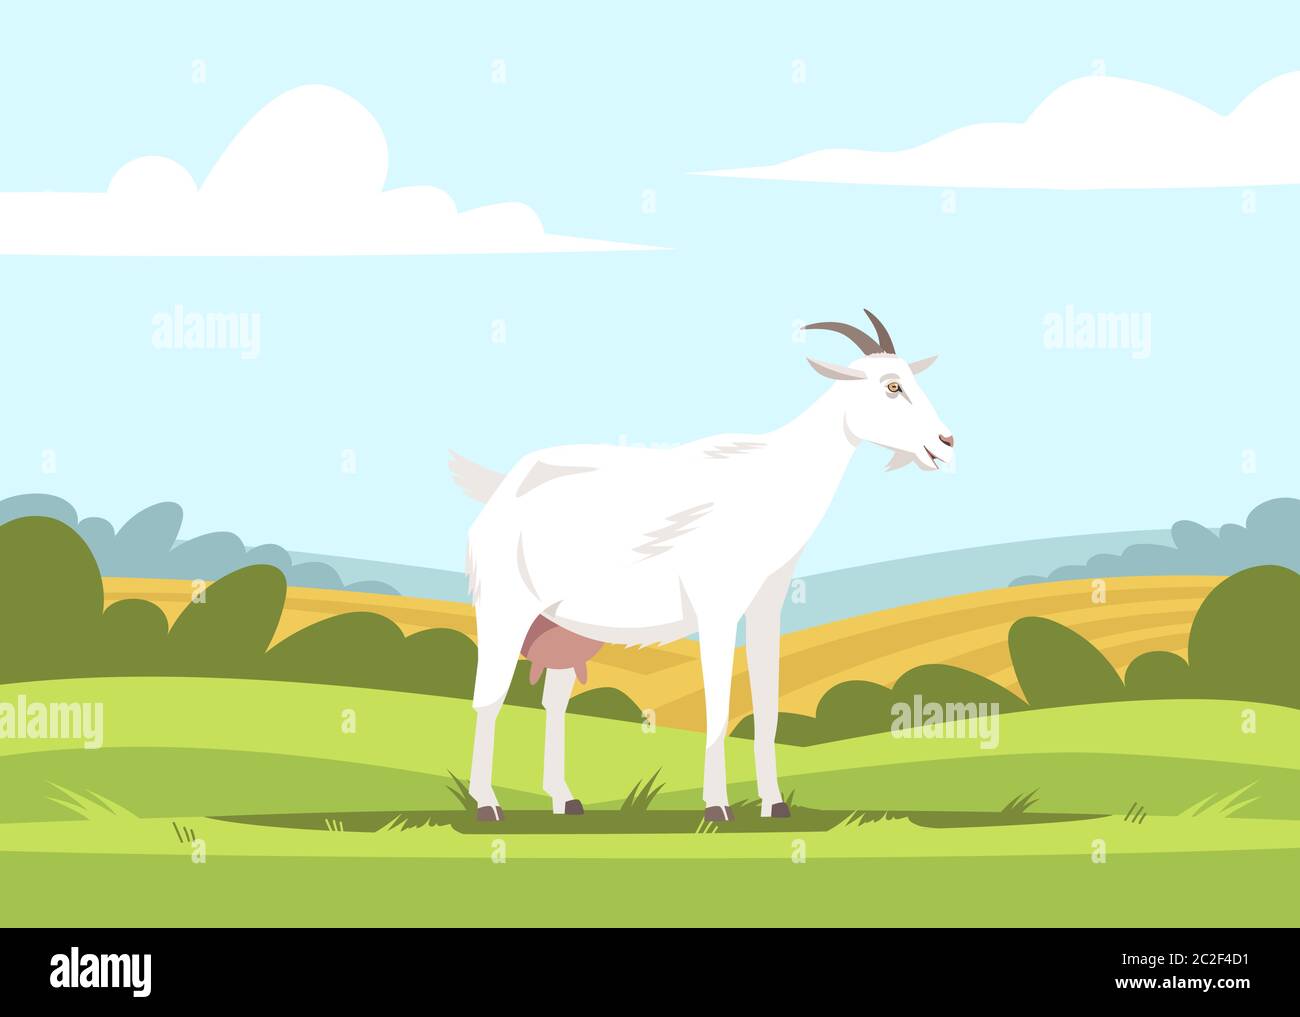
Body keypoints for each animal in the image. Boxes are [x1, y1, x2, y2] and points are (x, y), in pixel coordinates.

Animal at [451, 308, 952, 821]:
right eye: (892, 385)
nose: (945, 441)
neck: (772, 477)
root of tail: (499, 495)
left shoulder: (767, 605)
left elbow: (767, 703)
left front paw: (774, 805)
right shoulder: (717, 609)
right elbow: (719, 704)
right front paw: (717, 807)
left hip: (565, 629)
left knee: (552, 701)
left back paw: (565, 799)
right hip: (505, 610)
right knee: (488, 697)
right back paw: (487, 805)